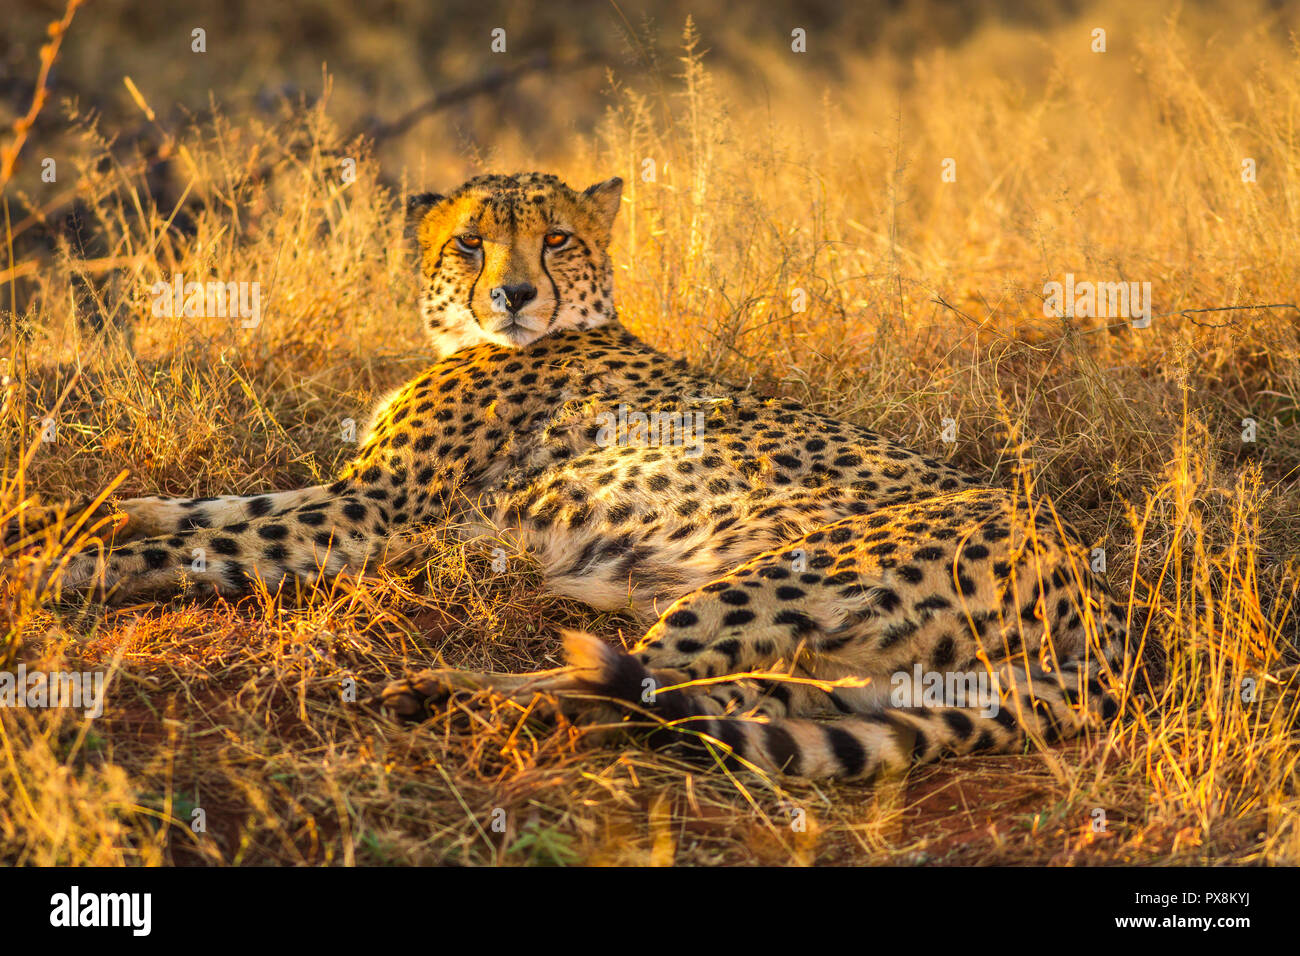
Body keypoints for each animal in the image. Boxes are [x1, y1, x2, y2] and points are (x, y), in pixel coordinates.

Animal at [13, 171, 1160, 782]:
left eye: (556, 238)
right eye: (470, 242)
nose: (513, 295)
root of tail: (1099, 600)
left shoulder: (372, 511)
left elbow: (210, 537)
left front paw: (51, 573)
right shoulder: (358, 495)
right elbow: (210, 501)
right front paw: (71, 512)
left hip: (773, 577)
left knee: (631, 687)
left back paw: (457, 694)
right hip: (840, 665)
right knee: (683, 694)